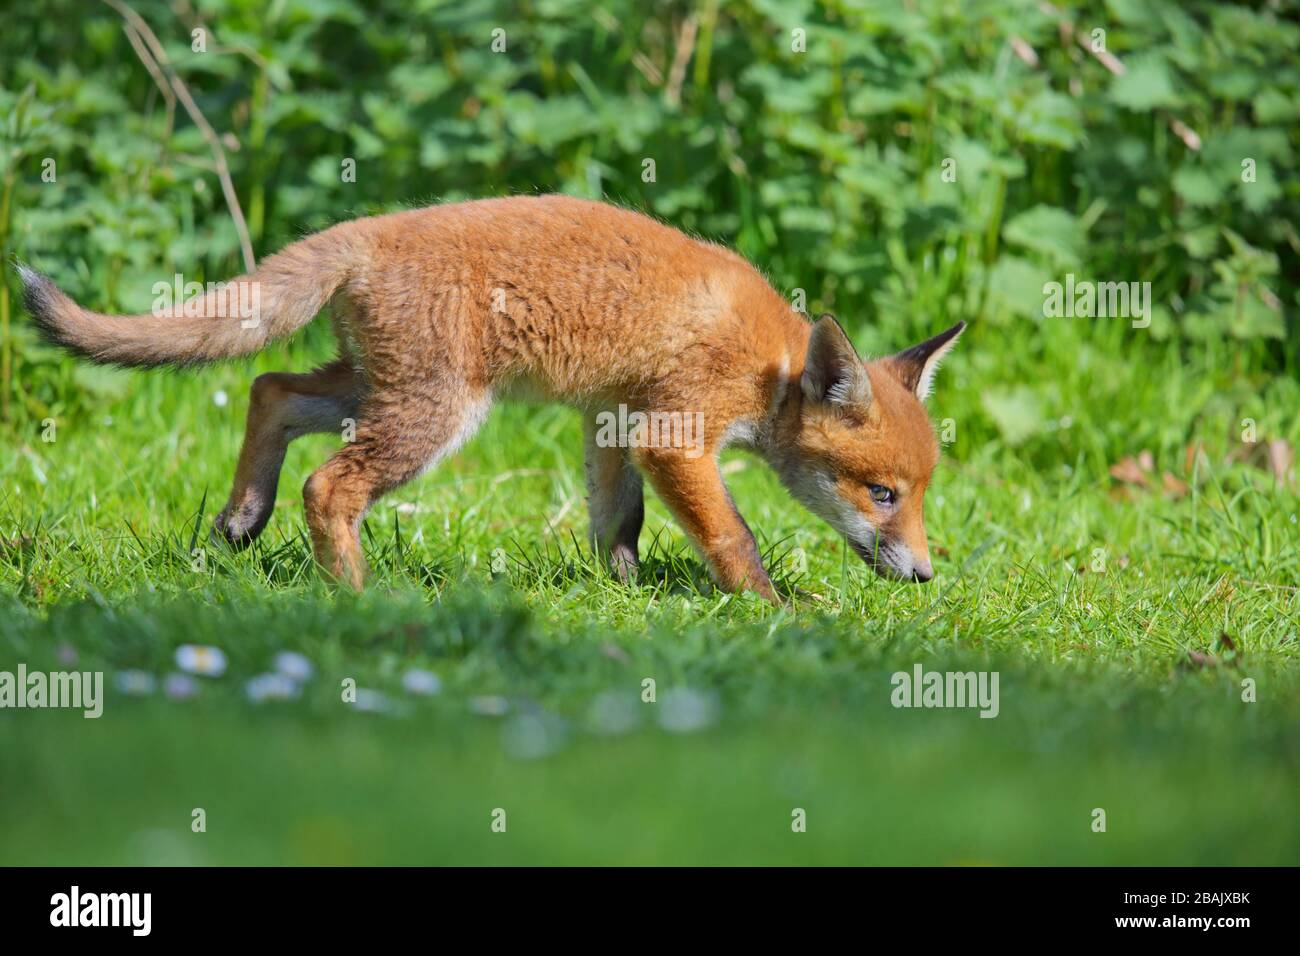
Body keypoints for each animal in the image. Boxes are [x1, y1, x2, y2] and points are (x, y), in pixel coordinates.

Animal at [19, 194, 963, 604]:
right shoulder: (671, 432)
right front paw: (771, 613)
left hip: (374, 390)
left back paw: (242, 518)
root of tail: (371, 230)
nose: (923, 576)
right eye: (882, 494)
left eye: (920, 496)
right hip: (433, 417)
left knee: (269, 388)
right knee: (328, 486)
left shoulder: (612, 422)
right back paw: (357, 596)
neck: (768, 361)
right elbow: (735, 538)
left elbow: (618, 522)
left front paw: (623, 596)